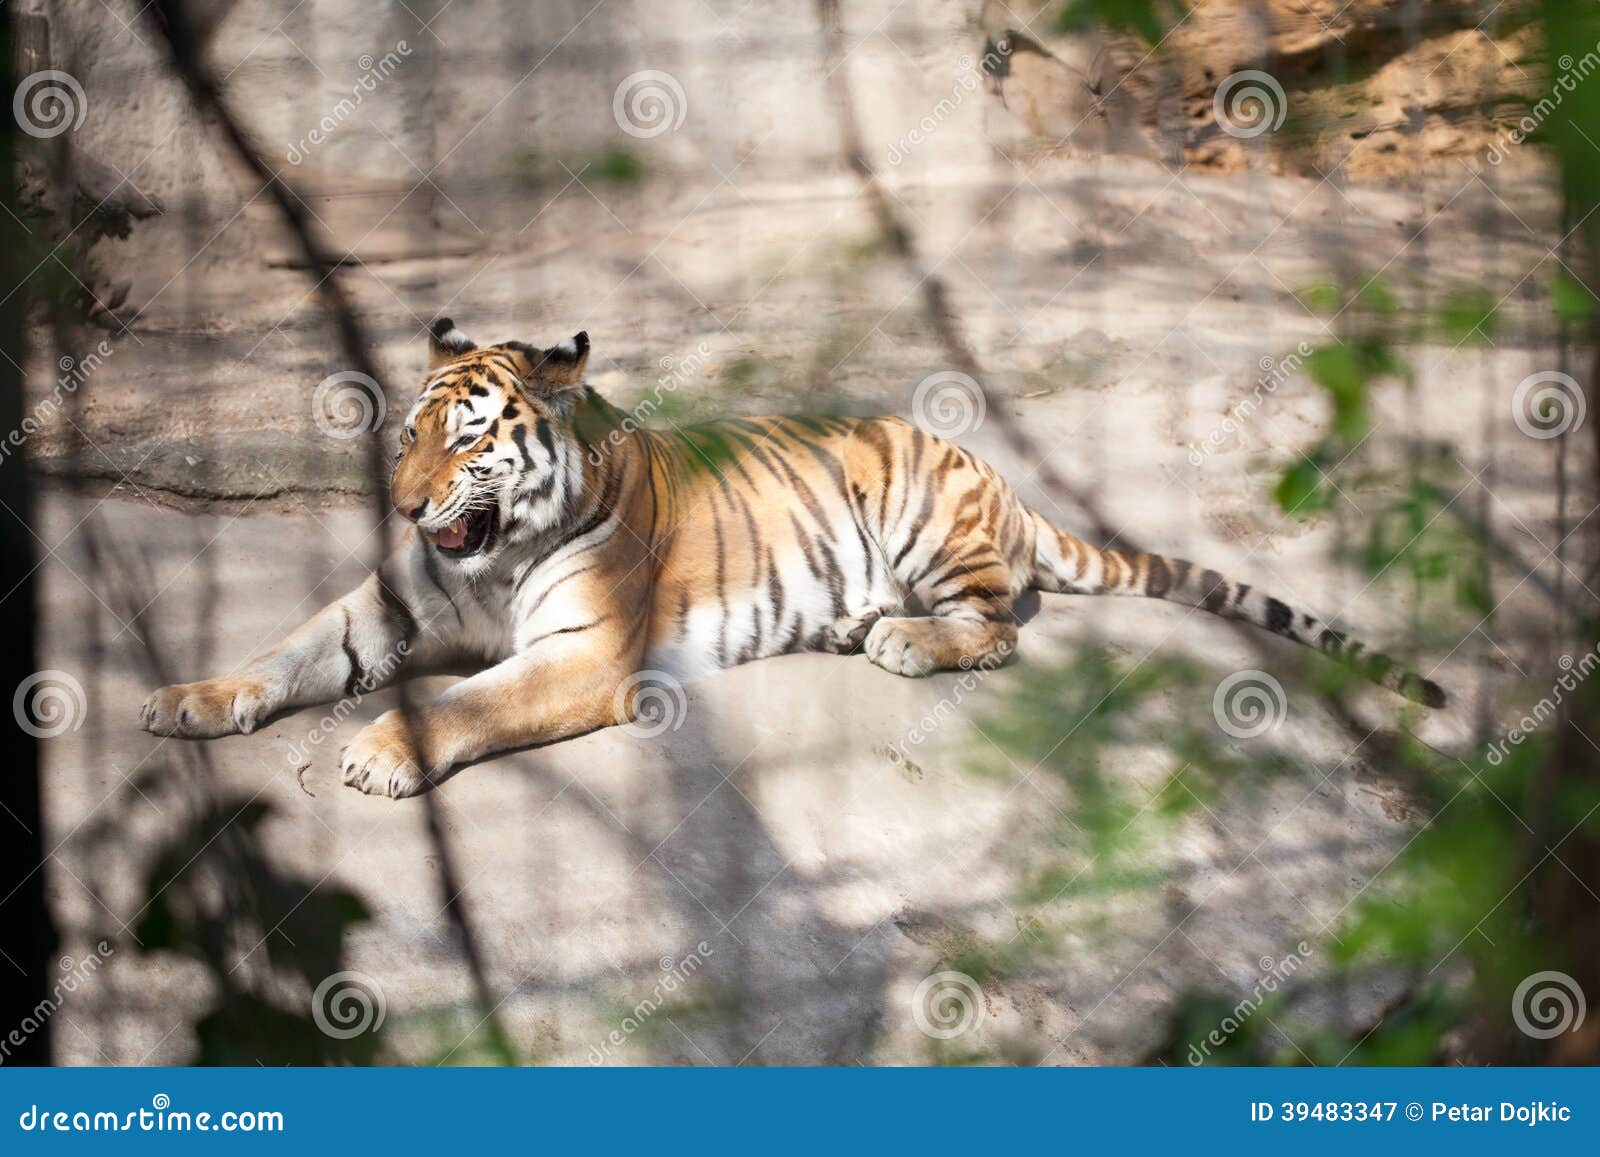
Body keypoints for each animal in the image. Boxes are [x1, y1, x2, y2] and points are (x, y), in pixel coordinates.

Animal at [139, 317, 1446, 798]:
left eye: (465, 439)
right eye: (404, 433)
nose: (410, 507)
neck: (493, 552)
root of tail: (1000, 478)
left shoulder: (584, 656)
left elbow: (469, 699)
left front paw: (378, 751)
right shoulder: (390, 604)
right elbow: (285, 651)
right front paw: (187, 699)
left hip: (925, 514)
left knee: (1001, 627)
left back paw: (900, 636)